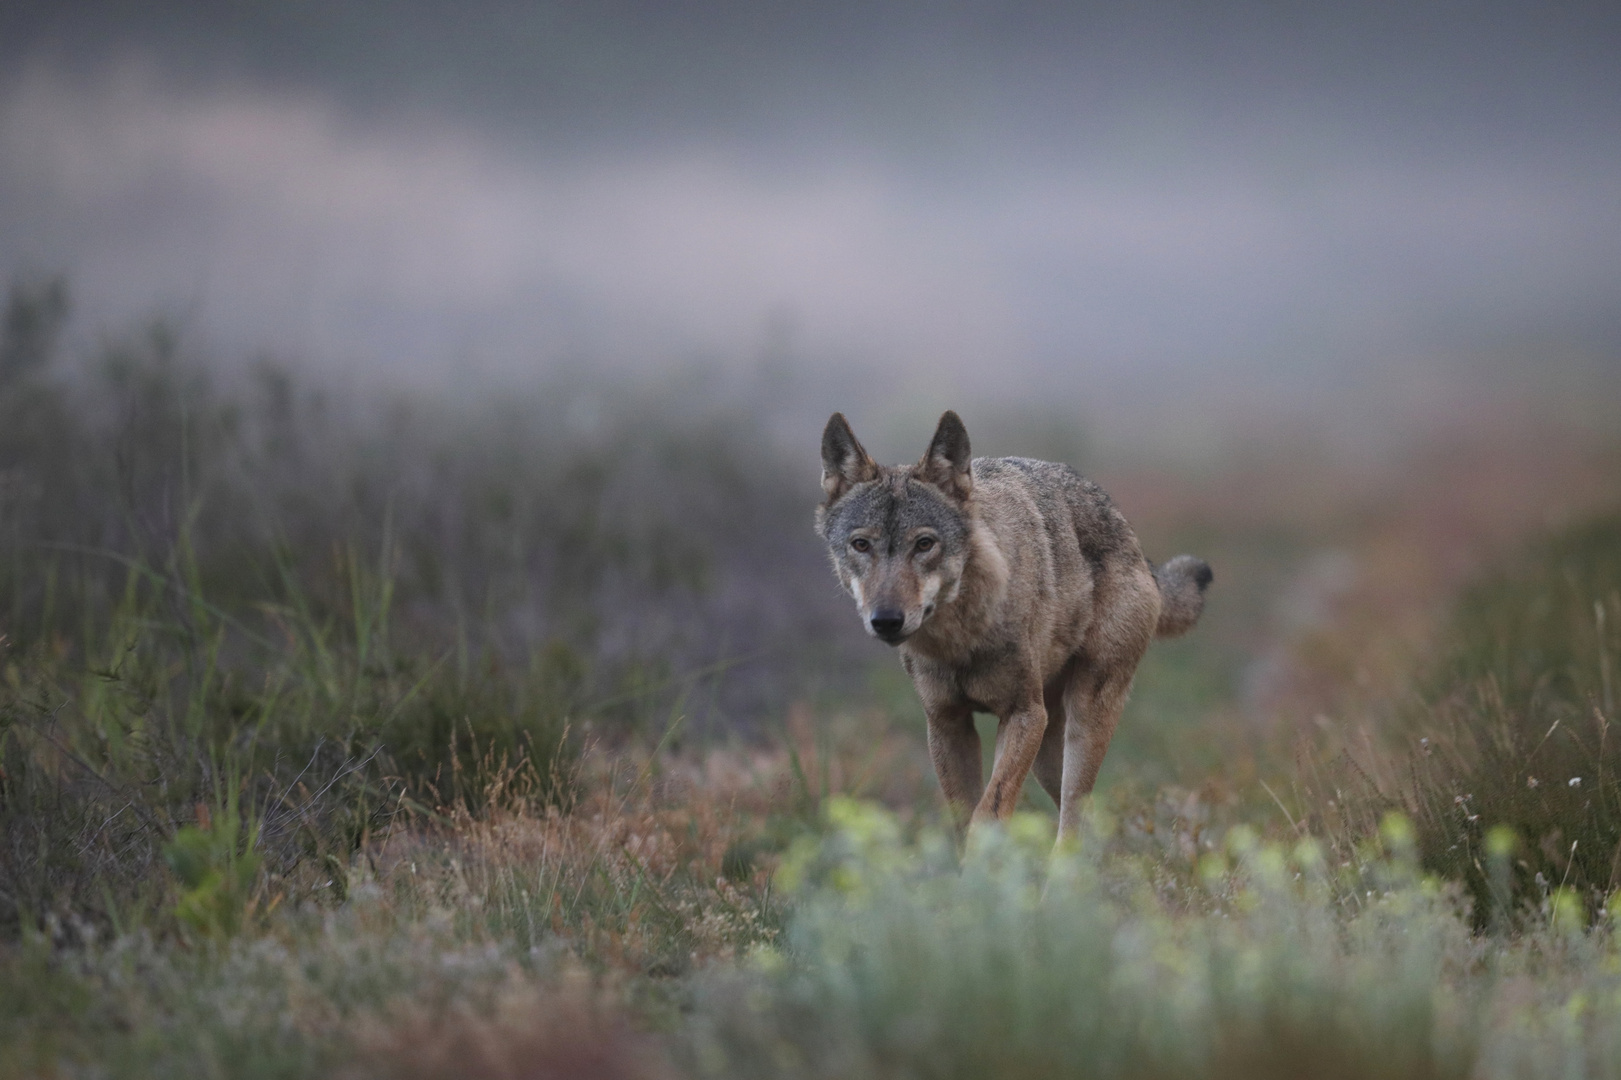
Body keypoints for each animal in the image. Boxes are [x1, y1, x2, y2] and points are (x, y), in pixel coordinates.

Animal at [817, 410, 1211, 844]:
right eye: (861, 545)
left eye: (924, 544)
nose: (886, 619)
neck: (959, 642)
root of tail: (1138, 547)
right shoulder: (947, 725)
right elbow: (963, 819)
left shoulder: (1023, 715)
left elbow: (987, 812)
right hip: (1046, 749)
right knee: (1086, 816)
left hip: (1083, 717)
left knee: (1073, 815)